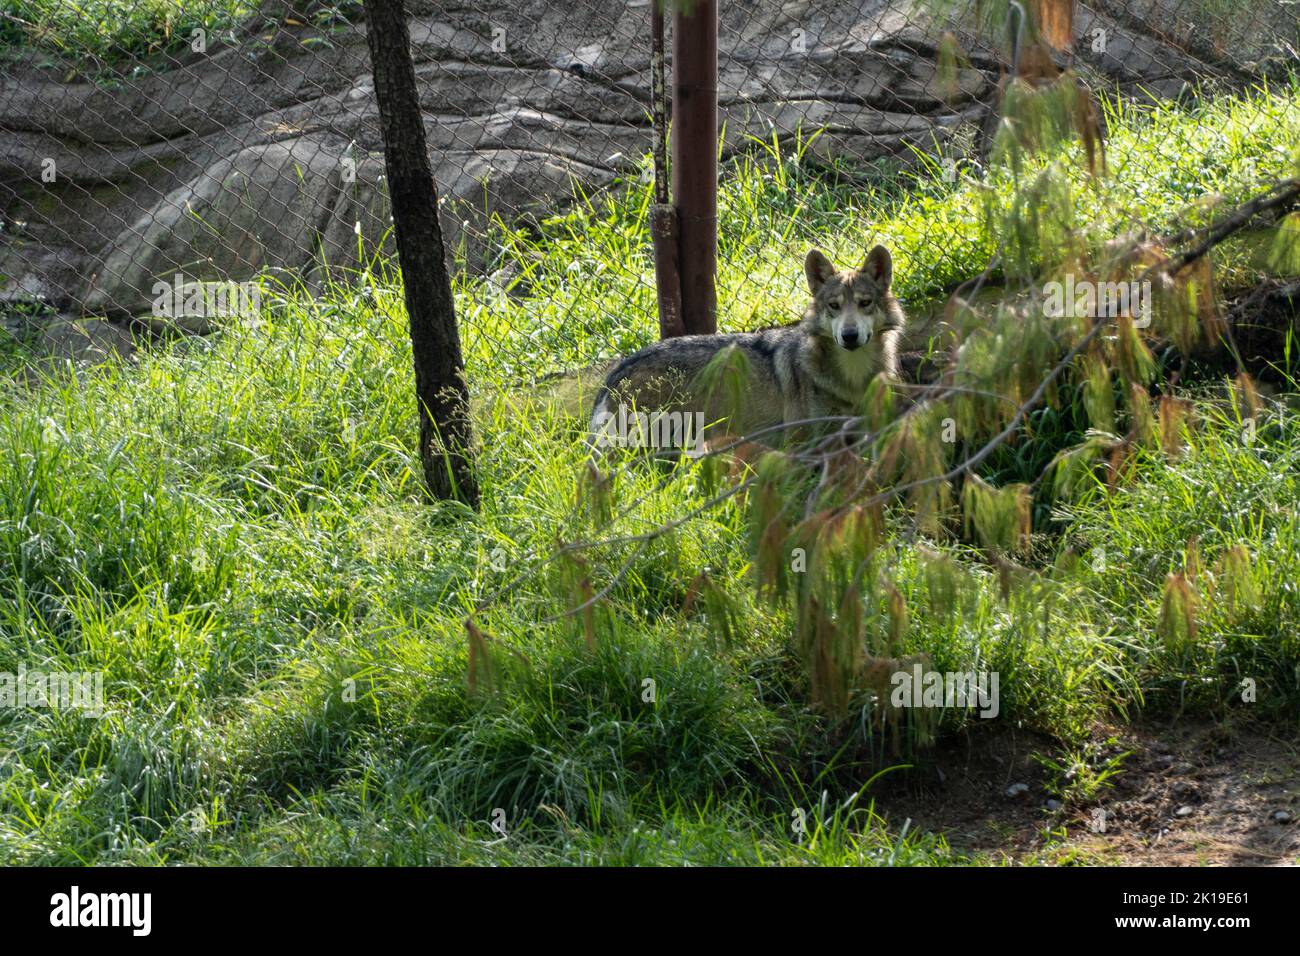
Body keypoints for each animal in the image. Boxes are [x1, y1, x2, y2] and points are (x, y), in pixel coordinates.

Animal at [588, 245, 905, 454]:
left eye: (865, 303)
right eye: (834, 306)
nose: (849, 336)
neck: (851, 376)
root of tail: (615, 373)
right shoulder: (803, 443)